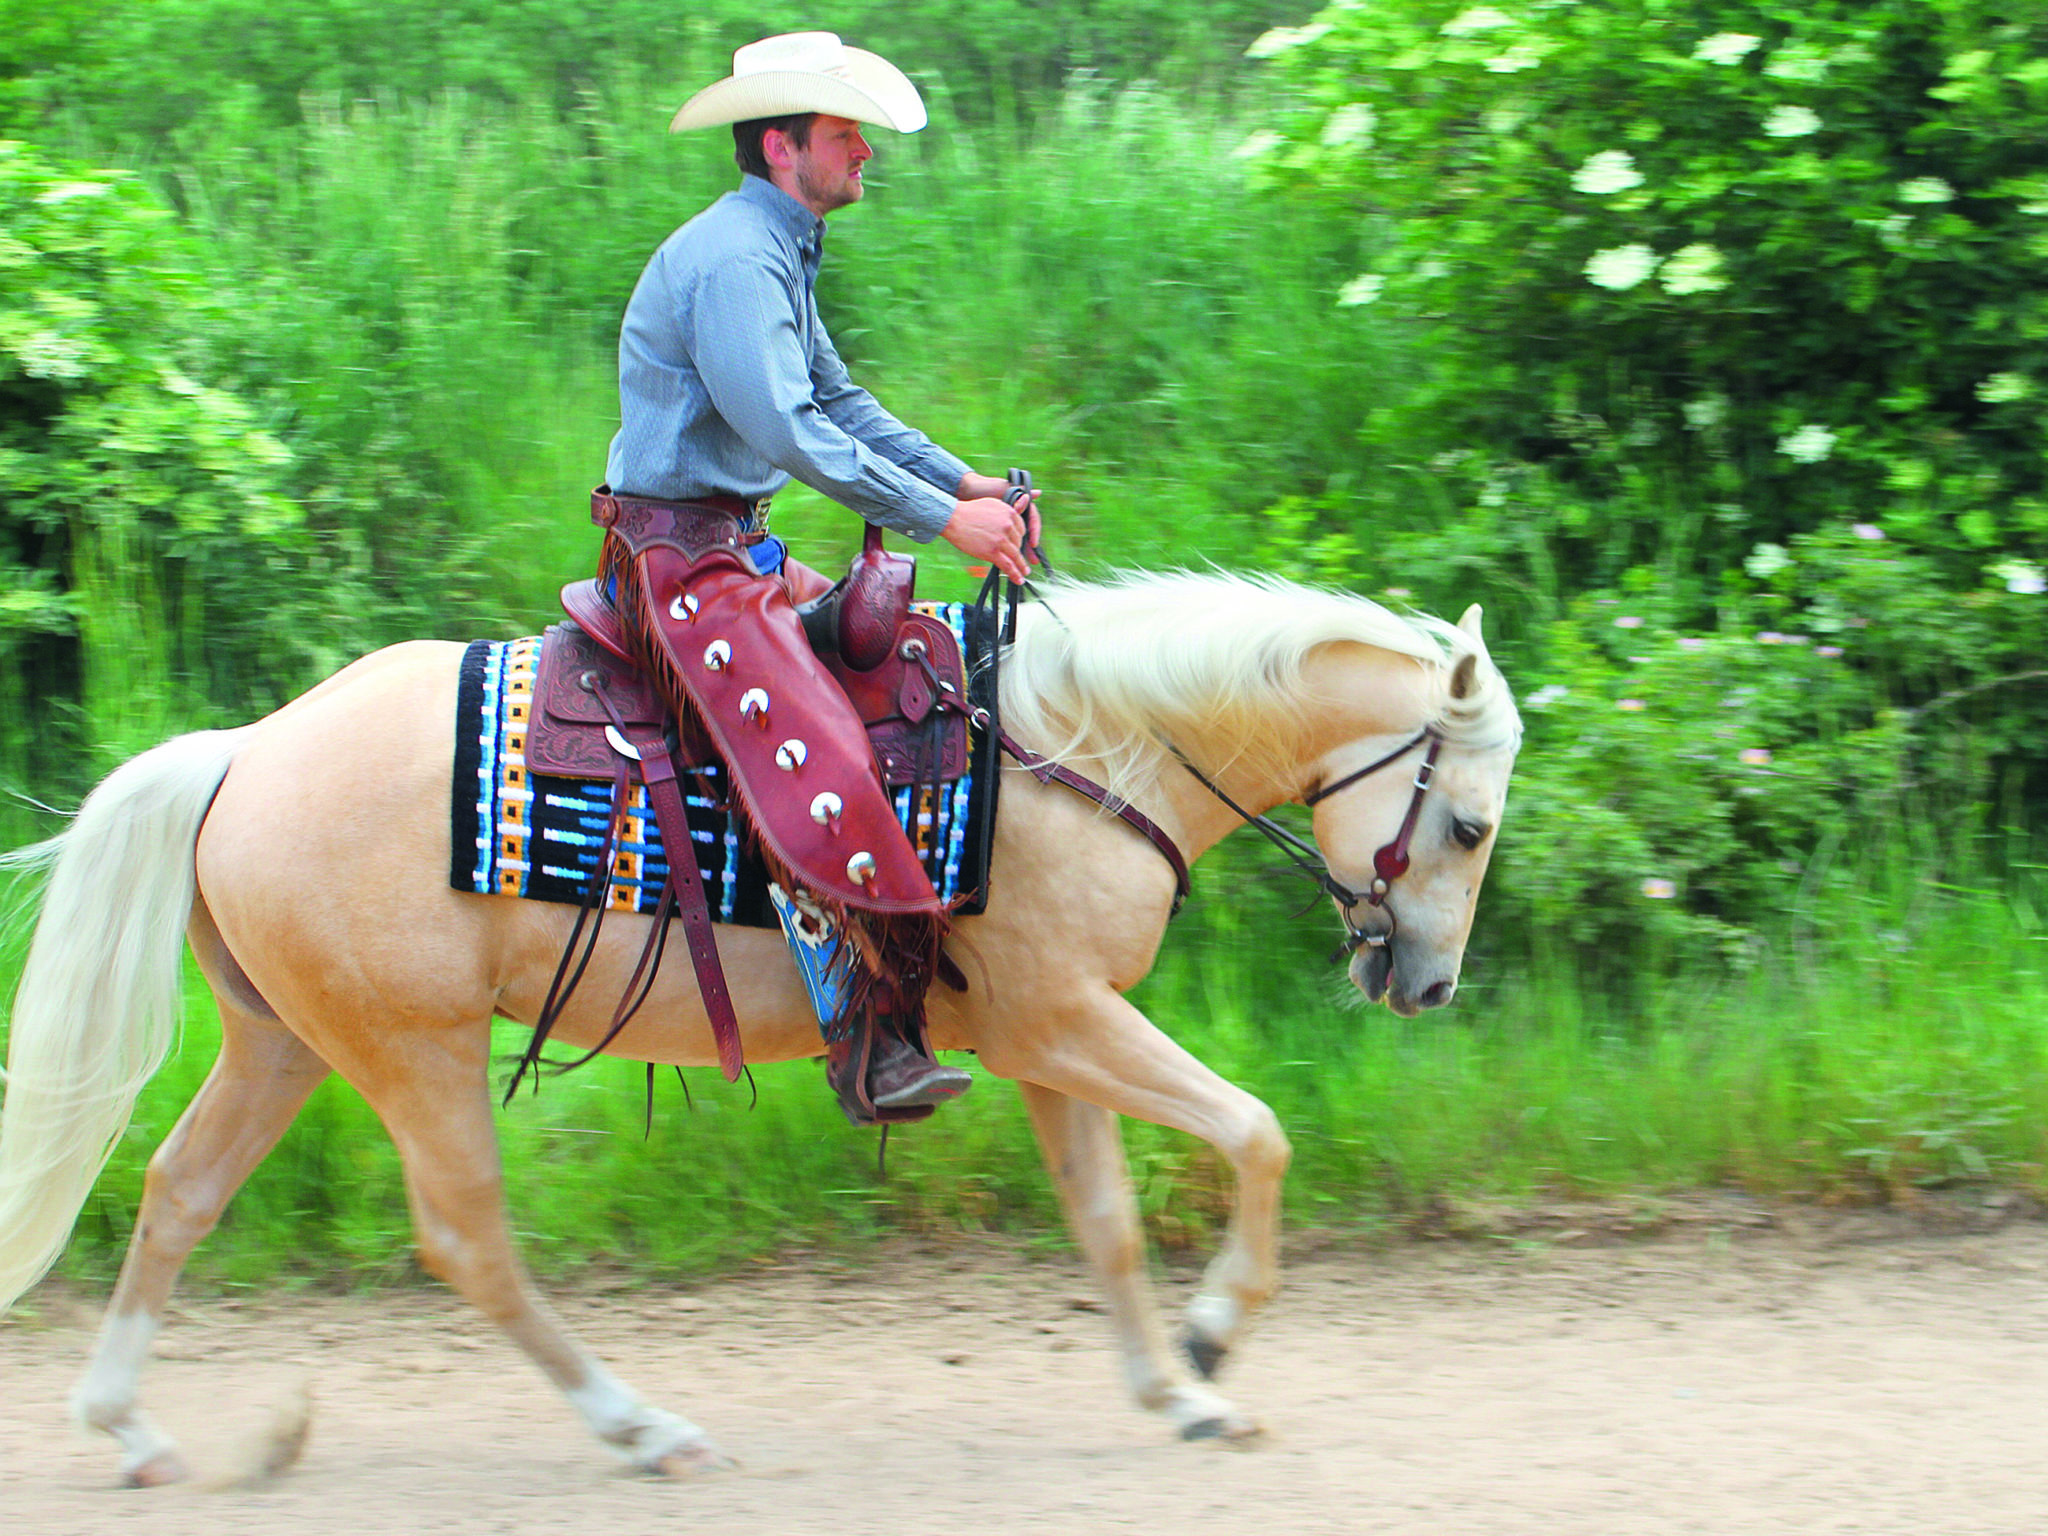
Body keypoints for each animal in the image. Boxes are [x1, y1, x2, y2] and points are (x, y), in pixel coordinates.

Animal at [0, 570, 1520, 1484]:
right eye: (1468, 824)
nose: (1426, 987)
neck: (1082, 751)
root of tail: (246, 752)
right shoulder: (1061, 1020)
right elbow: (1255, 1135)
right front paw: (1211, 1341)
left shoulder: (1049, 1040)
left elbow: (1108, 1224)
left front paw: (1180, 1392)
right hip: (410, 1050)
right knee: (467, 1240)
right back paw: (640, 1425)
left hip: (285, 1042)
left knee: (179, 1192)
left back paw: (127, 1427)